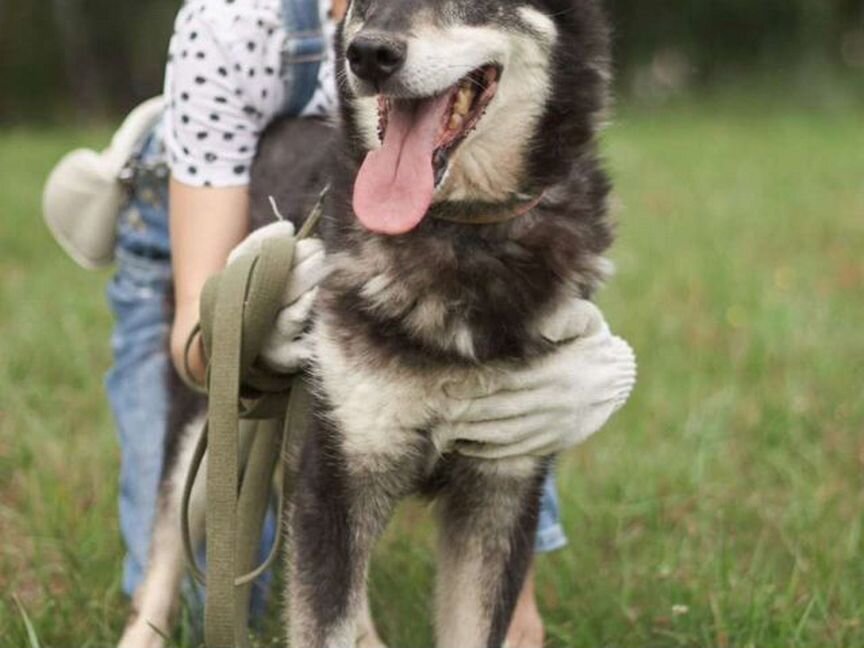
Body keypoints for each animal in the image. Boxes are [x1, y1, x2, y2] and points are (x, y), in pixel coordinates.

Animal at [120, 0, 616, 644]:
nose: (371, 56)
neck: (460, 236)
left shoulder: (501, 489)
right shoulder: (336, 478)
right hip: (210, 417)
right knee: (162, 554)